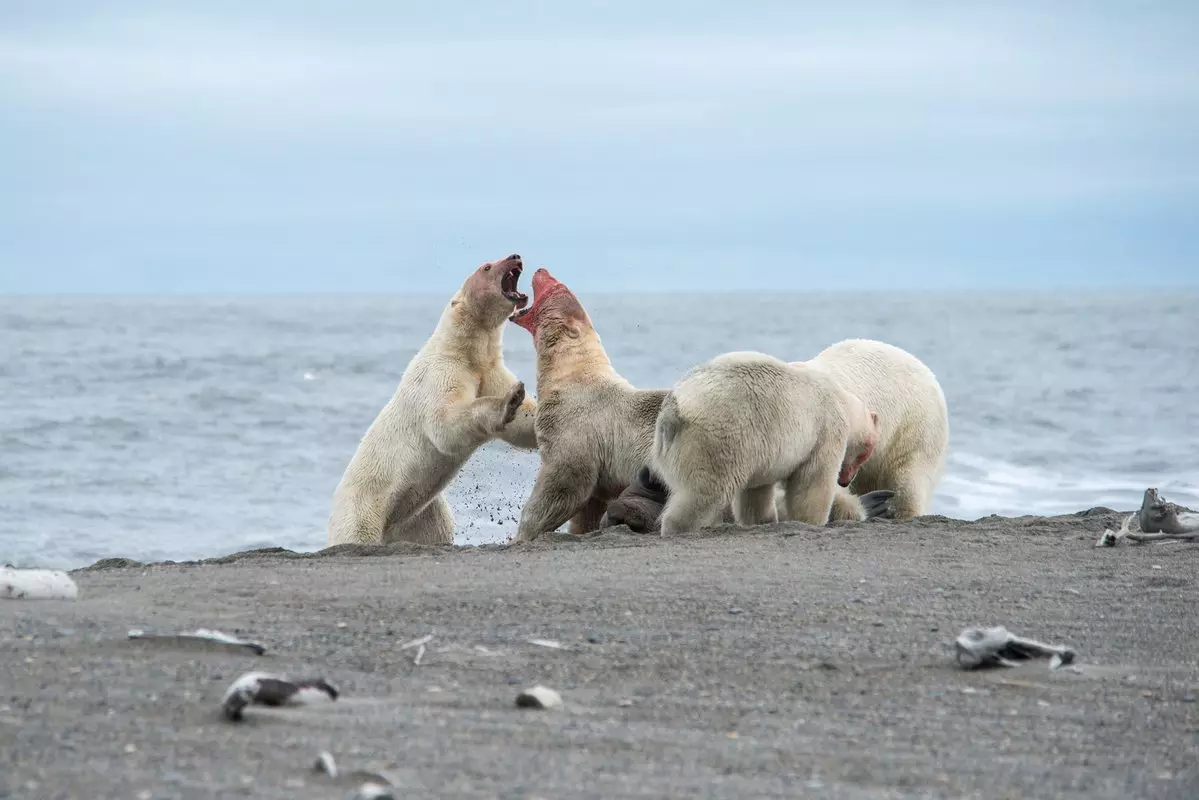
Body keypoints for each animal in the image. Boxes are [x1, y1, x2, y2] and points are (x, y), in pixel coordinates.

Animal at [326, 253, 537, 546]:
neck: (462, 350)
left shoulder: (488, 370)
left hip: (419, 515)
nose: (515, 256)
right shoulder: (441, 372)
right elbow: (444, 424)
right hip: (363, 508)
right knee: (358, 533)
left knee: (434, 529)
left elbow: (522, 424)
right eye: (486, 267)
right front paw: (508, 402)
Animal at [508, 268, 671, 544]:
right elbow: (589, 507)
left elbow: (564, 484)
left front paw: (521, 534)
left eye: (556, 286)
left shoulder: (576, 425)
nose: (542, 270)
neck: (572, 374)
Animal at [647, 352, 882, 534]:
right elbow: (813, 481)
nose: (845, 481)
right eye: (866, 453)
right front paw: (813, 521)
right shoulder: (825, 430)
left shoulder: (763, 446)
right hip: (715, 439)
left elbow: (756, 493)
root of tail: (672, 412)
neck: (841, 400)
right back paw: (679, 527)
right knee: (705, 491)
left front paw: (762, 520)